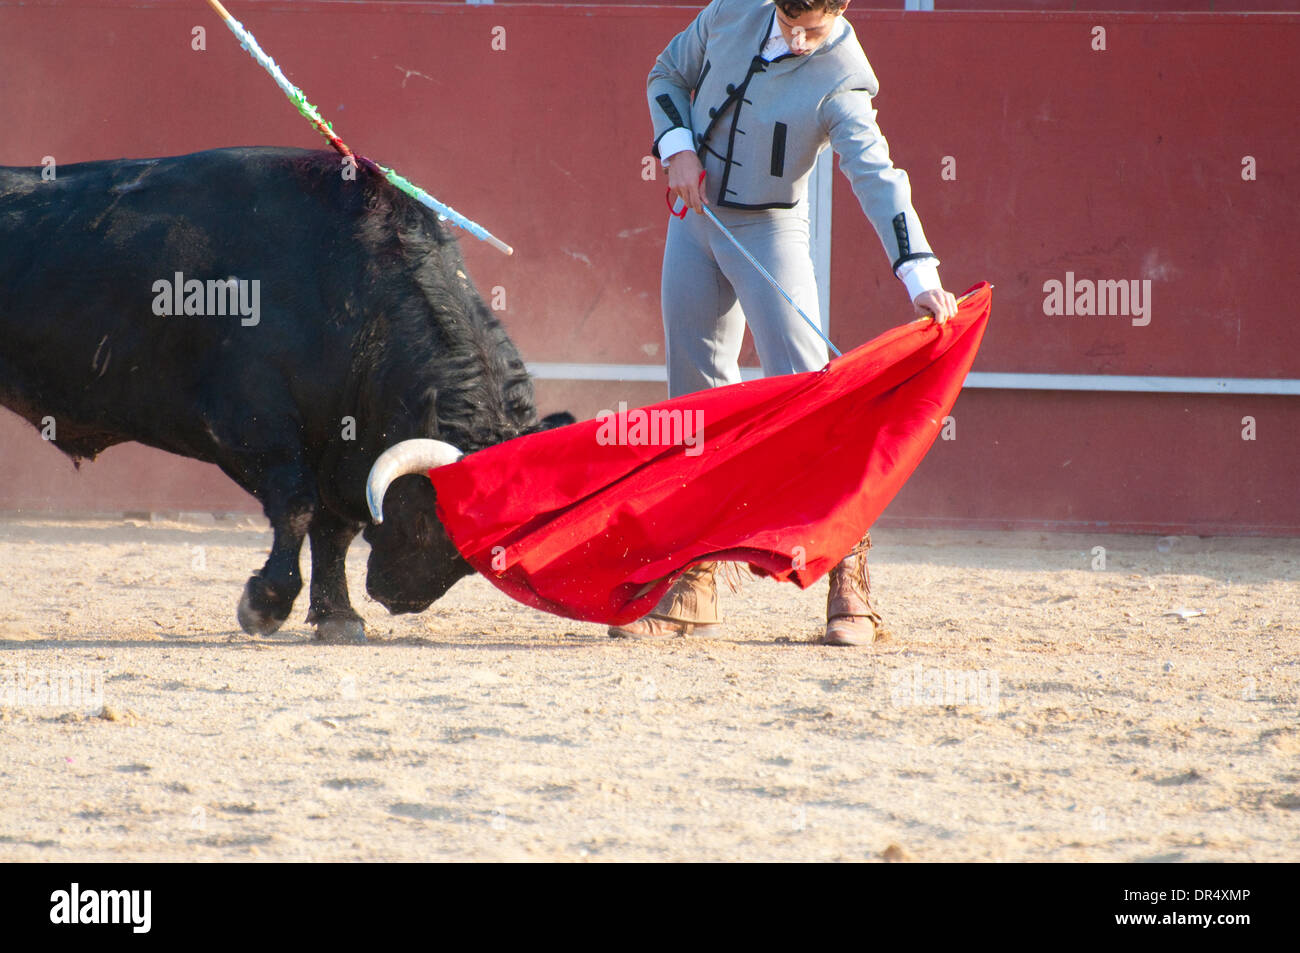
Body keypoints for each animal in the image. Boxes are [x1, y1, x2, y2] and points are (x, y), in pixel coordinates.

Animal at [0, 146, 572, 642]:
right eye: (435, 516)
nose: (401, 599)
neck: (351, 292)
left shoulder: (341, 443)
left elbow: (336, 527)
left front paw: (338, 616)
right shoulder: (252, 425)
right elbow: (297, 506)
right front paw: (266, 603)